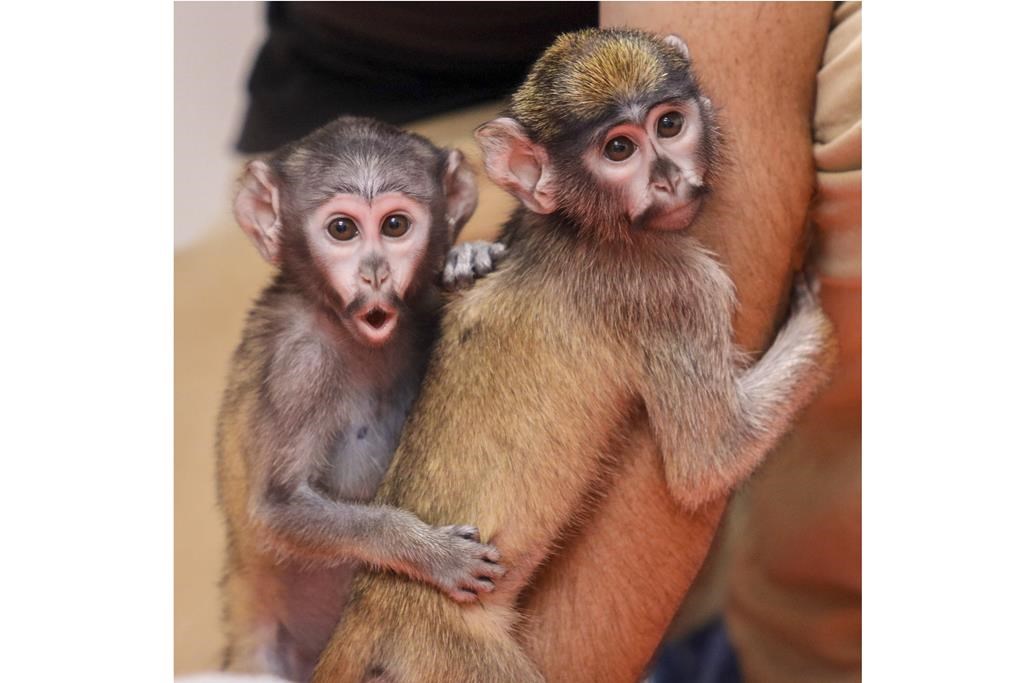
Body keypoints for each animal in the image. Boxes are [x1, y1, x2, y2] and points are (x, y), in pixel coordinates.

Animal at [215, 116, 510, 682]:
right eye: (342, 230)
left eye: (394, 226)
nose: (374, 272)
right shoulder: (299, 366)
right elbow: (279, 507)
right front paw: (431, 554)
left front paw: (467, 254)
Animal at [313, 29, 837, 683]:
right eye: (619, 148)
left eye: (670, 124)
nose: (668, 179)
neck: (579, 228)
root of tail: (371, 600)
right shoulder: (672, 291)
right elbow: (710, 461)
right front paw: (819, 310)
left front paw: (468, 260)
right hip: (440, 648)